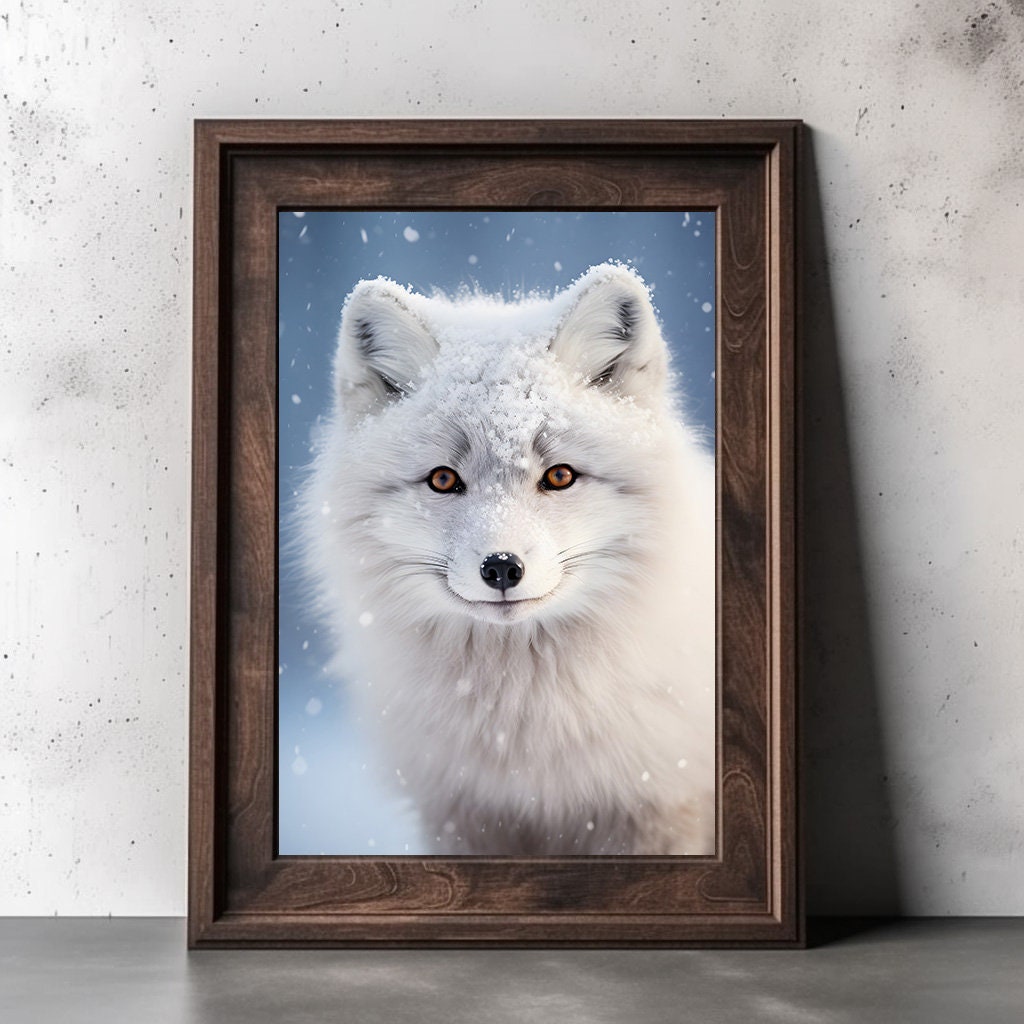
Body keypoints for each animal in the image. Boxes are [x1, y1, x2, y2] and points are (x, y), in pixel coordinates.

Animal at [303, 262, 716, 855]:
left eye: (559, 476)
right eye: (443, 479)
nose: (501, 567)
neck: (522, 727)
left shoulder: (658, 809)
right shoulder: (464, 818)